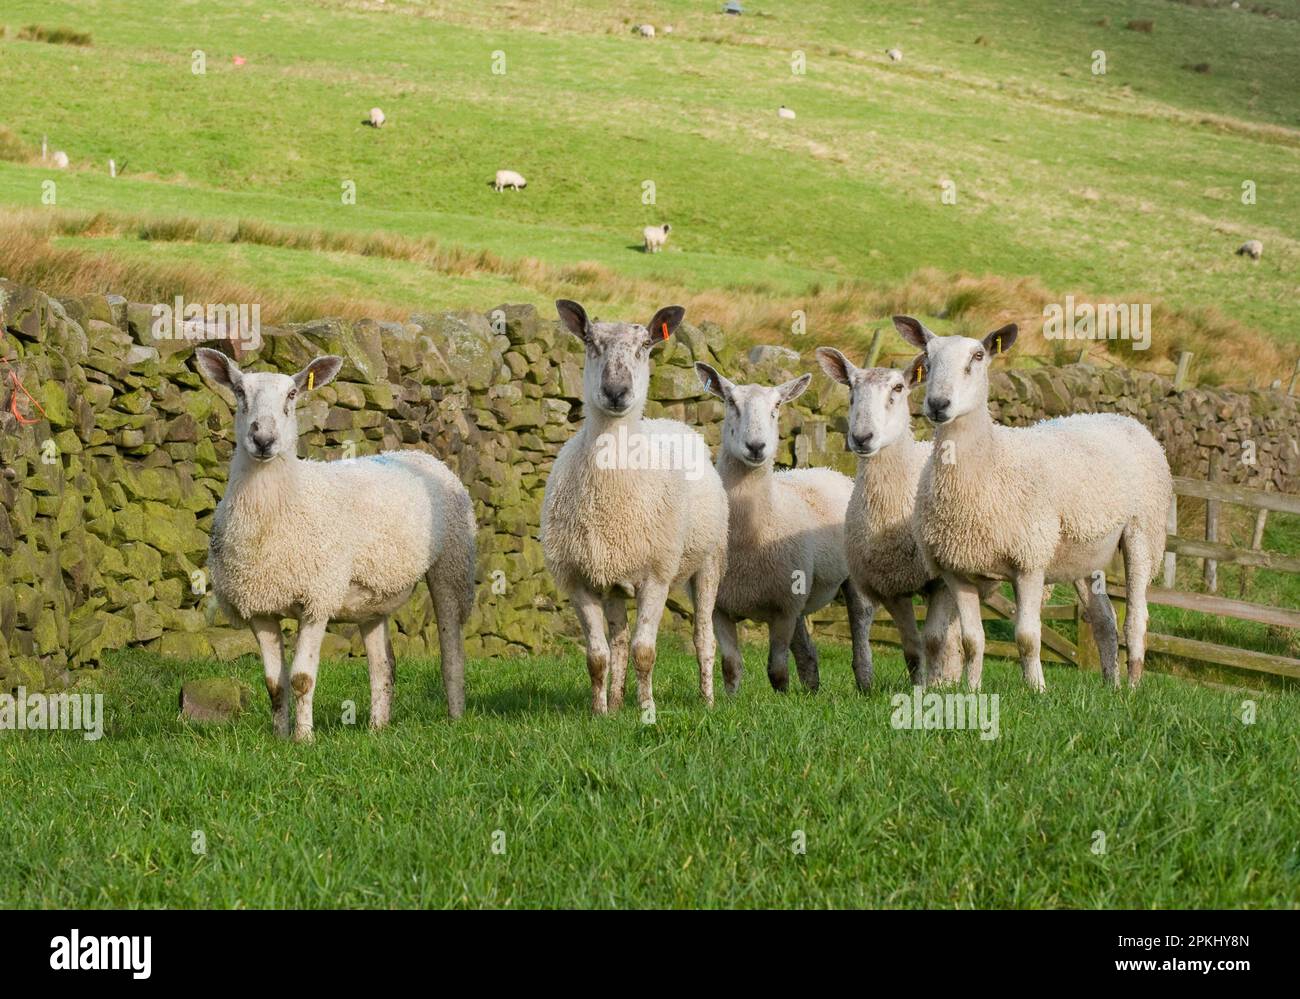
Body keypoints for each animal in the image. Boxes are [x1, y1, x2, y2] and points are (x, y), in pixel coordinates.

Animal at [194, 347, 477, 741]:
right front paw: (279, 739)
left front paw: (303, 739)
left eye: (292, 395)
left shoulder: (317, 597)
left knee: (451, 651)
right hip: (373, 594)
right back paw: (377, 727)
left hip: (452, 563)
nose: (263, 439)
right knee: (383, 664)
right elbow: (274, 684)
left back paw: (455, 717)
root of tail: (422, 455)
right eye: (239, 391)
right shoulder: (258, 606)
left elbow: (301, 678)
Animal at [540, 300, 728, 715]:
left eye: (645, 345)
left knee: (703, 637)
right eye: (590, 342)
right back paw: (615, 701)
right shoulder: (580, 578)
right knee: (620, 643)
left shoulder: (656, 577)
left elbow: (646, 652)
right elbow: (598, 656)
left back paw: (708, 700)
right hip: (612, 574)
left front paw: (647, 712)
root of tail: (669, 421)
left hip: (710, 559)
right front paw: (599, 713)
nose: (616, 391)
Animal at [695, 363, 873, 693]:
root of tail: (828, 469)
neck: (749, 538)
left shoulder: (784, 610)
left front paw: (782, 698)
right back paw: (812, 688)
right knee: (806, 647)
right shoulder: (719, 608)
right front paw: (729, 700)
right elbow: (731, 666)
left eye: (777, 406)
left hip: (850, 577)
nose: (756, 446)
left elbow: (777, 669)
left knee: (861, 619)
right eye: (731, 402)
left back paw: (864, 681)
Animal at [814, 347, 967, 687]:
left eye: (898, 388)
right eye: (851, 388)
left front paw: (935, 687)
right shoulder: (891, 586)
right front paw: (920, 687)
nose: (861, 437)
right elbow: (912, 647)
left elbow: (935, 640)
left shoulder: (940, 581)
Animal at [896, 316, 1172, 691]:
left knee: (1137, 619)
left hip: (1143, 533)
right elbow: (972, 639)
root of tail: (1126, 419)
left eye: (978, 357)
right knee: (1103, 618)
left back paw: (1131, 686)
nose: (938, 404)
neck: (990, 463)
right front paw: (972, 690)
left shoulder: (1029, 561)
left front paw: (1036, 689)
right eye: (927, 356)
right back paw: (1110, 685)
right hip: (1085, 551)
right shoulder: (957, 569)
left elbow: (1027, 637)